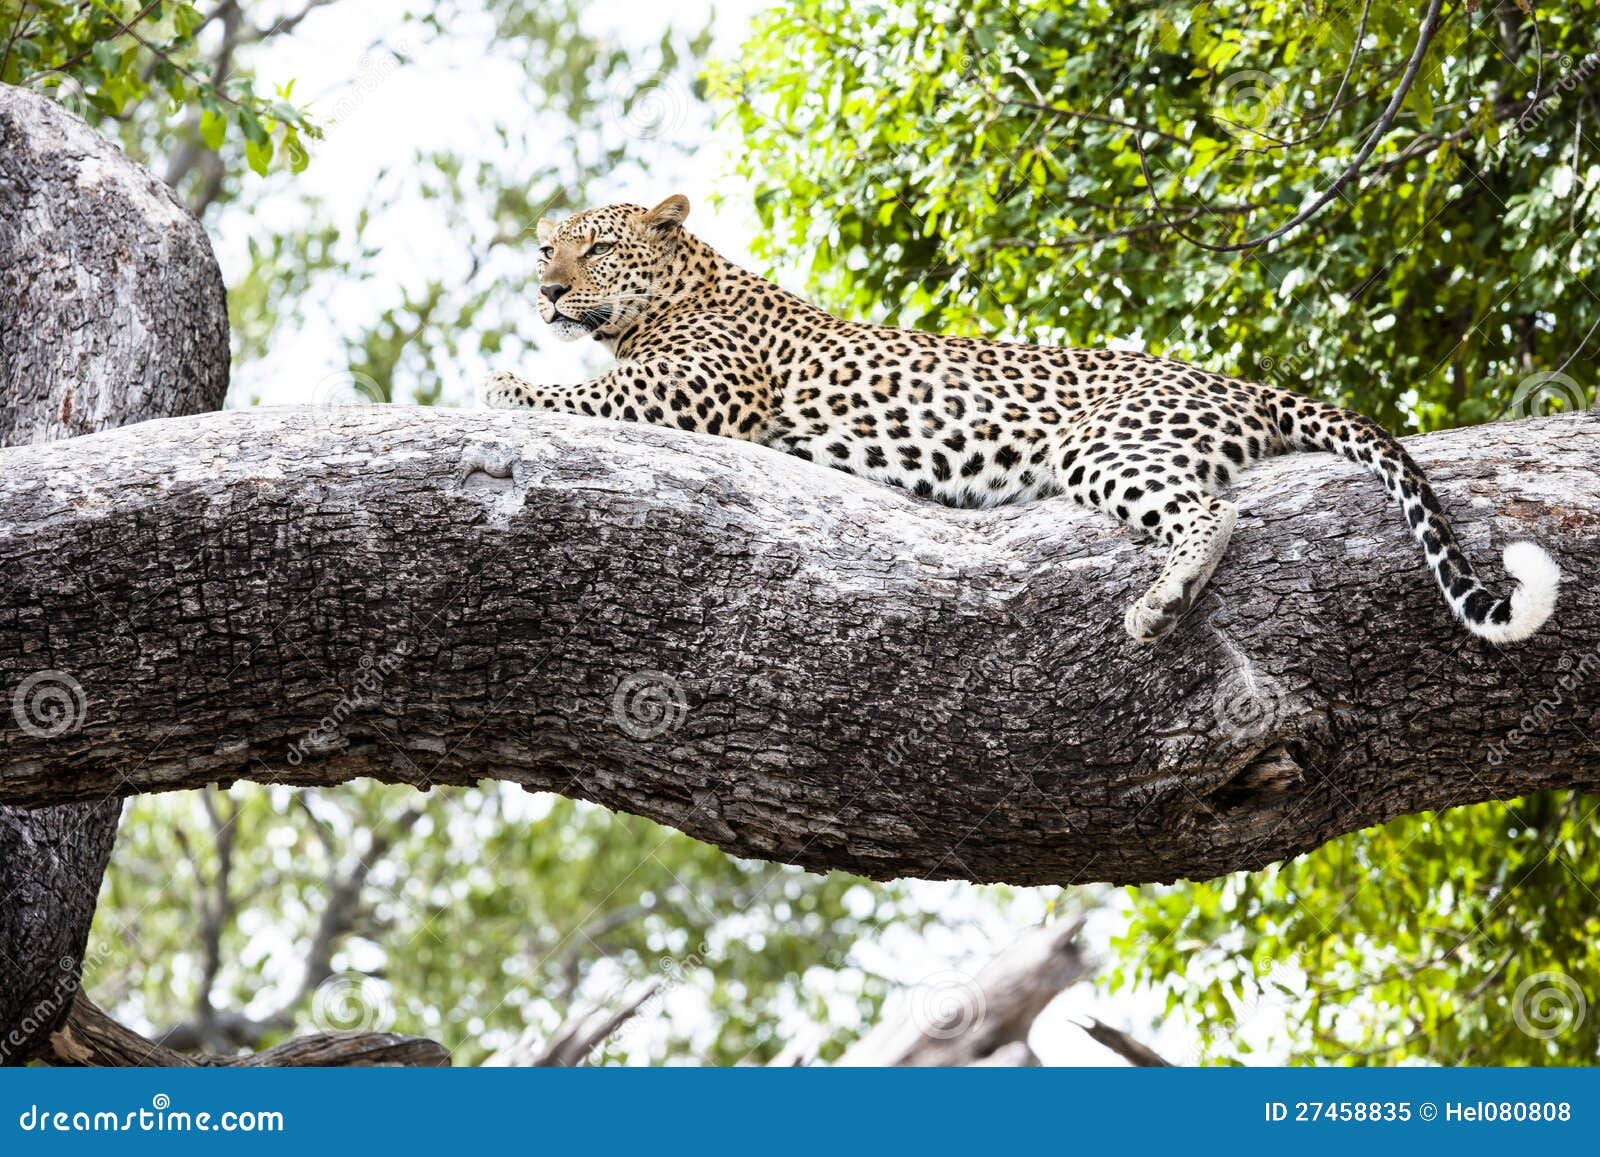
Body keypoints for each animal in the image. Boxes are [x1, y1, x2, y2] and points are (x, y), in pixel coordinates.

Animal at [482, 194, 1560, 646]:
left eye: (598, 248)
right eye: (545, 247)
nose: (546, 290)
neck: (673, 296)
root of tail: (1243, 384)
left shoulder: (702, 390)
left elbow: (584, 395)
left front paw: (502, 386)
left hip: (1104, 441)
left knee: (1212, 512)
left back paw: (1160, 603)